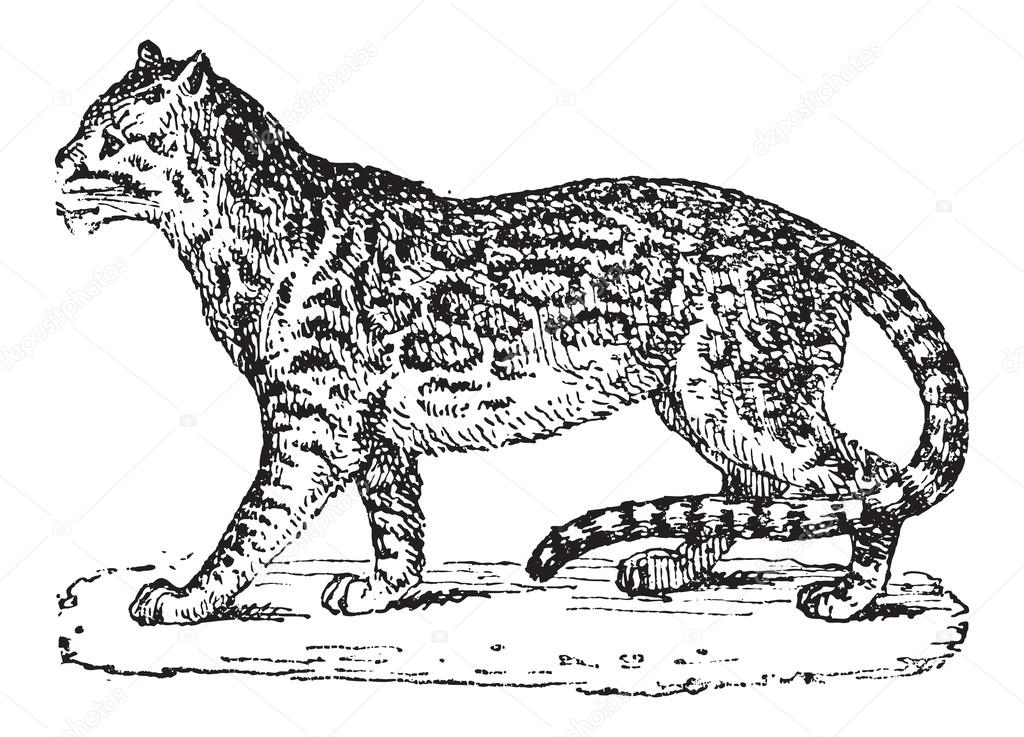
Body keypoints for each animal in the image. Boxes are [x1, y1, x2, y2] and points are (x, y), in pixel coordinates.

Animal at [54, 42, 968, 625]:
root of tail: (817, 234)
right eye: (85, 121)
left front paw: (187, 596)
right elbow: (397, 518)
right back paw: (668, 566)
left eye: (116, 138)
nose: (58, 163)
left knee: (865, 475)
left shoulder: (311, 424)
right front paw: (383, 589)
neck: (222, 247)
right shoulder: (371, 430)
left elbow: (254, 522)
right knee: (758, 486)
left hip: (746, 395)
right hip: (703, 399)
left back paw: (852, 593)